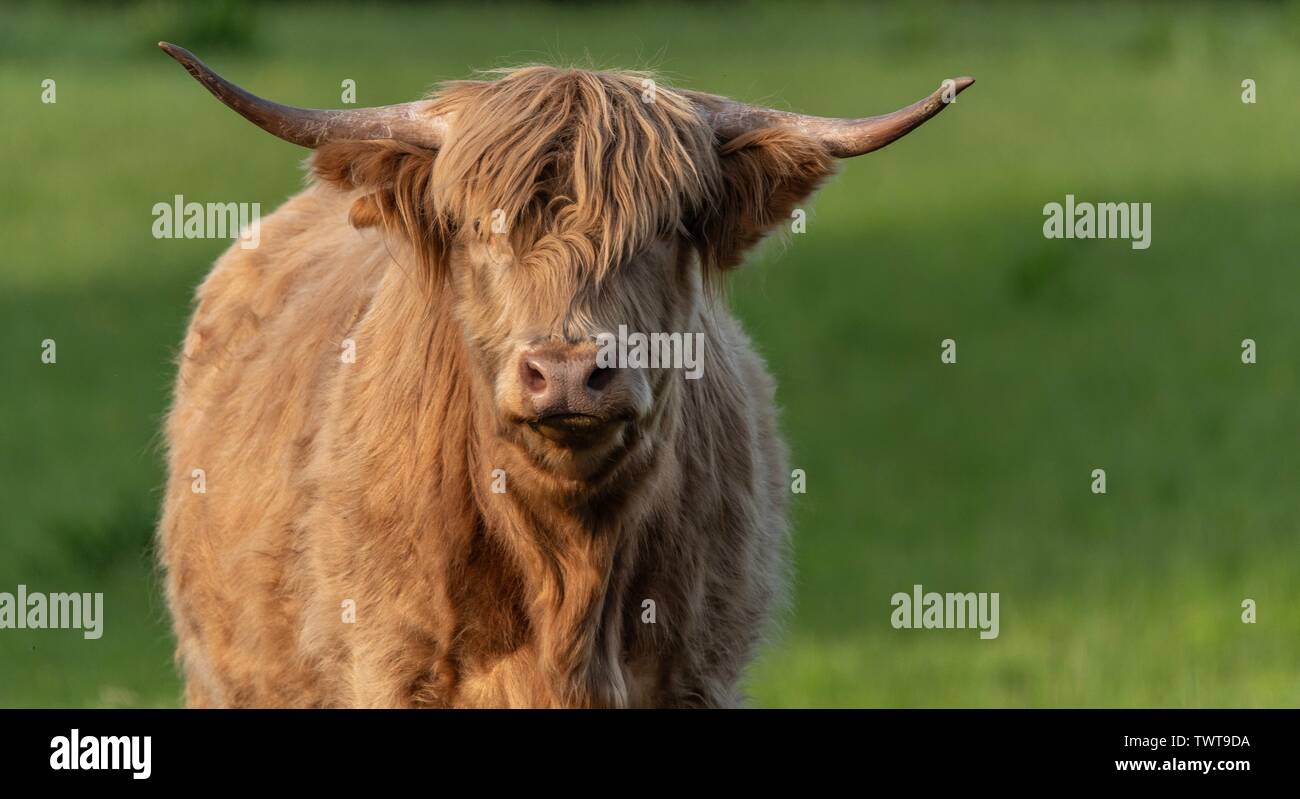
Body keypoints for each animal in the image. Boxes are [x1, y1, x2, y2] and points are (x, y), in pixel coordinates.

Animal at [156, 42, 972, 708]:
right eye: (479, 225)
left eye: (667, 227)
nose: (571, 372)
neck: (570, 572)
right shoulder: (387, 668)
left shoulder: (696, 674)